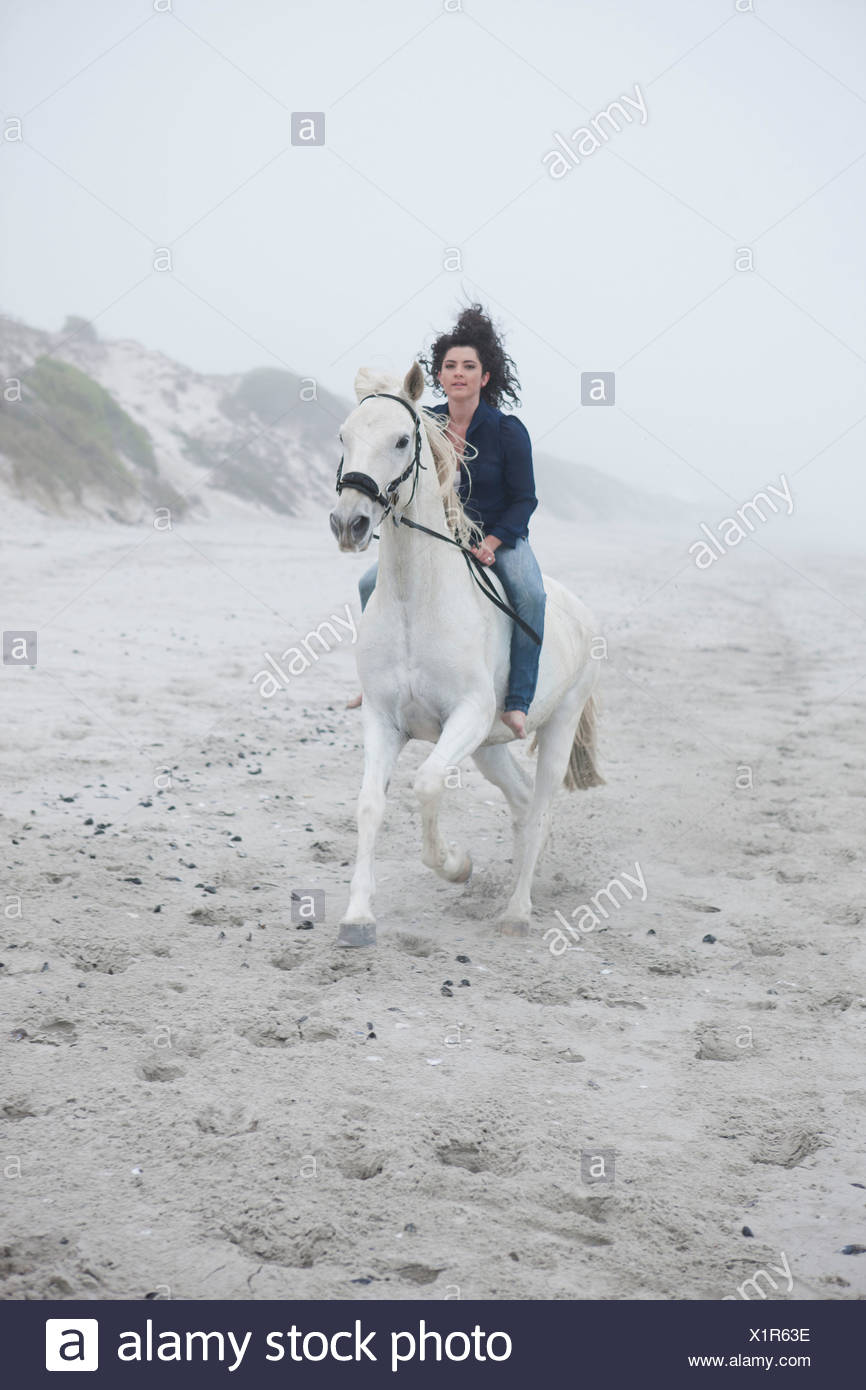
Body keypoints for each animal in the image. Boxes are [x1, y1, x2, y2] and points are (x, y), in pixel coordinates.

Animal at [328, 361, 604, 947]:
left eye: (402, 440)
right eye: (344, 436)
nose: (349, 524)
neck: (417, 603)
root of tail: (581, 610)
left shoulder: (466, 716)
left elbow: (427, 784)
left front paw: (456, 865)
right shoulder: (383, 720)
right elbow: (370, 804)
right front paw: (358, 917)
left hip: (556, 725)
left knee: (540, 808)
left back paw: (518, 911)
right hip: (489, 746)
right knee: (521, 803)